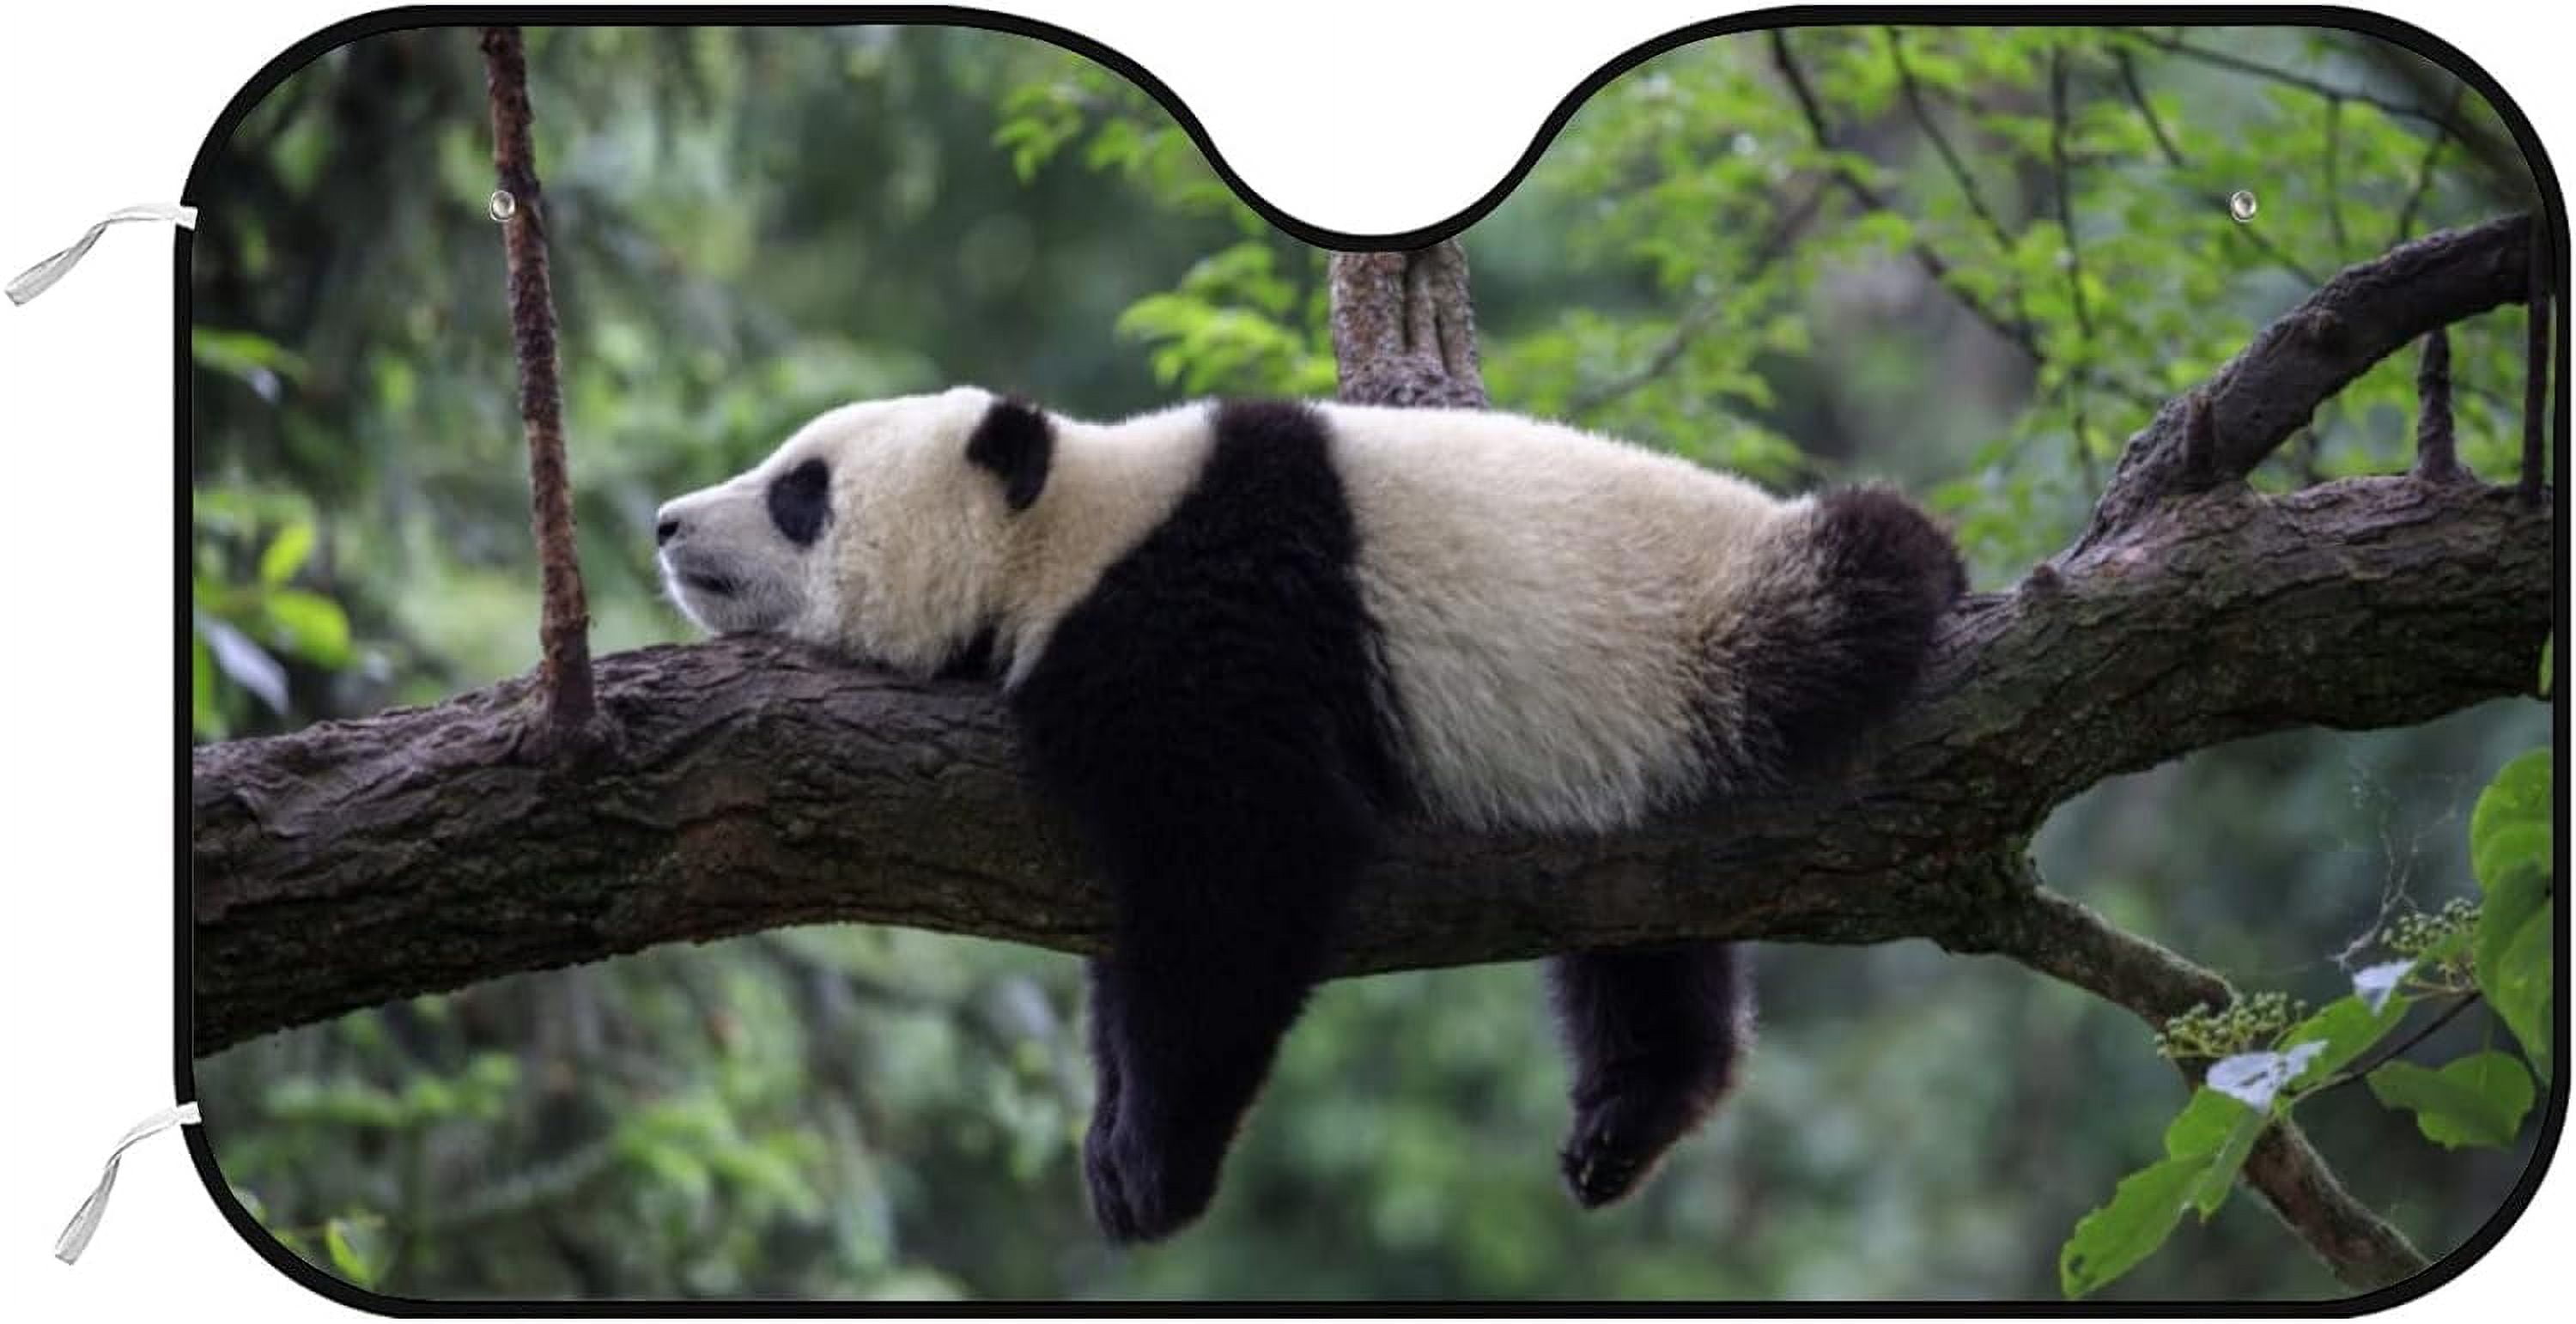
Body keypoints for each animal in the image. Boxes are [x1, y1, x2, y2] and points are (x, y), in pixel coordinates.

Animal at [655, 385, 1964, 1243]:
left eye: (801, 492)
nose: (667, 522)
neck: (1073, 527)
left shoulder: (1211, 622)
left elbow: (1243, 875)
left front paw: (1153, 1167)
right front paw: (1112, 1136)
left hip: (1712, 628)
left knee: (1861, 577)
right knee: (1642, 938)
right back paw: (1629, 1115)